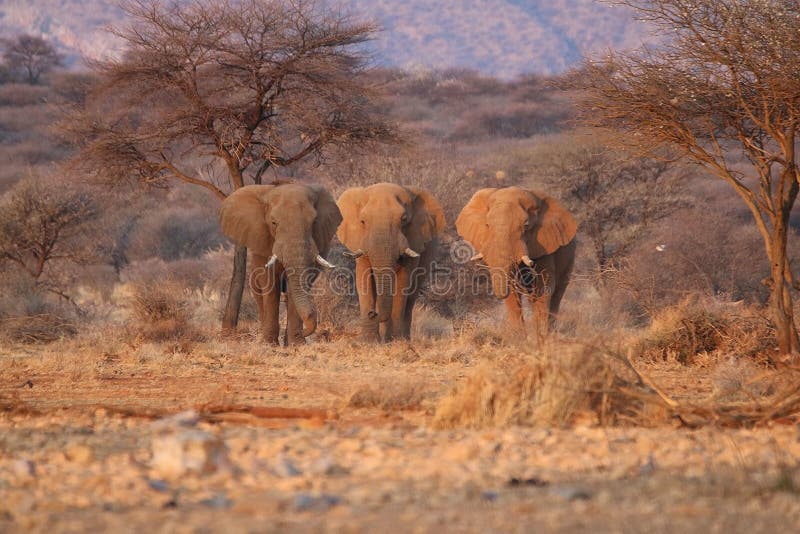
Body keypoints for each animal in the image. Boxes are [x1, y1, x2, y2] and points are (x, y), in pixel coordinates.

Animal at [219, 183, 342, 345]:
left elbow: (295, 287)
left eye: (314, 222)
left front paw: (296, 344)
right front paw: (269, 344)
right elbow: (270, 285)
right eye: (274, 223)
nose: (305, 333)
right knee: (260, 296)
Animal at [337, 183, 446, 342]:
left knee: (411, 296)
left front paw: (395, 340)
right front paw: (369, 342)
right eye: (362, 221)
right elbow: (364, 278)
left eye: (404, 219)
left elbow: (403, 282)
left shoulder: (413, 241)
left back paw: (403, 338)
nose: (372, 313)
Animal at [456, 186, 577, 336]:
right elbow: (513, 292)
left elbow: (543, 287)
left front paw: (542, 336)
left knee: (556, 294)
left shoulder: (546, 245)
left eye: (526, 226)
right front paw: (519, 337)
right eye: (487, 225)